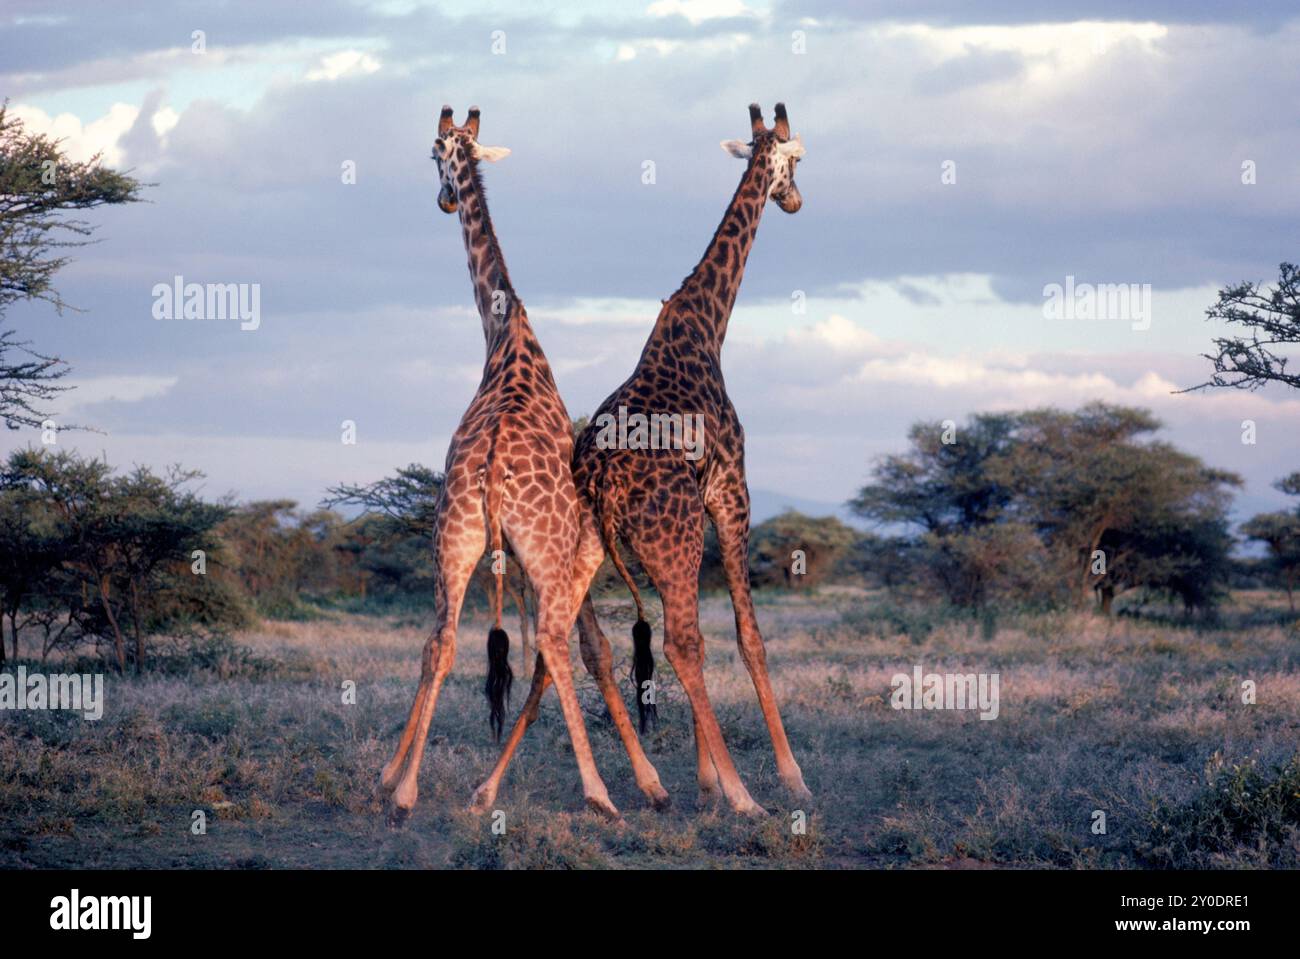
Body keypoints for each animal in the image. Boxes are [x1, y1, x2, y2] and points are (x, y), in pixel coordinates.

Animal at [378, 106, 622, 821]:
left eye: (435, 154)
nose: (442, 198)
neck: (505, 329)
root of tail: (489, 472)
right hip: (538, 550)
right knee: (553, 645)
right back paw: (602, 793)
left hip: (452, 539)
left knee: (440, 643)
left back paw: (401, 788)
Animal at [476, 103, 811, 817]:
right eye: (796, 162)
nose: (796, 200)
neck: (708, 326)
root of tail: (600, 476)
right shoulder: (731, 493)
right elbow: (748, 637)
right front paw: (785, 777)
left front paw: (705, 779)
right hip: (672, 536)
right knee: (682, 642)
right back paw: (744, 797)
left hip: (589, 544)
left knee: (567, 642)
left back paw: (493, 785)